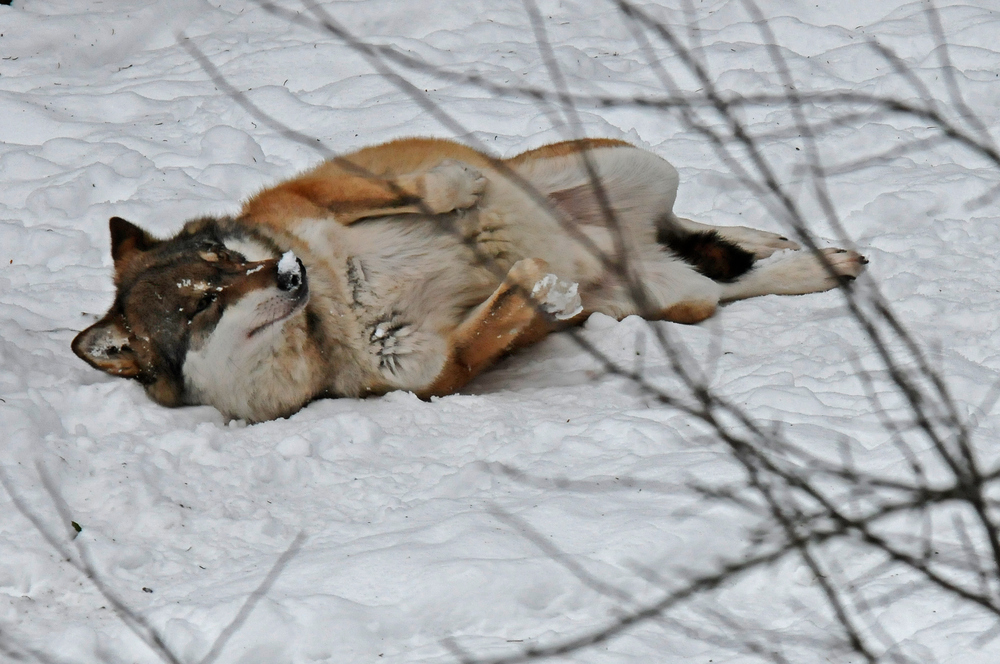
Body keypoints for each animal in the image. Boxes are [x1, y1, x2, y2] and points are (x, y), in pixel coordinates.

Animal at [72, 137, 868, 422]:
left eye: (228, 261)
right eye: (203, 305)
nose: (288, 272)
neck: (328, 314)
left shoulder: (324, 199)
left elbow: (414, 188)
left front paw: (457, 190)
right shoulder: (431, 373)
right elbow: (482, 333)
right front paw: (538, 289)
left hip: (637, 166)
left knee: (695, 224)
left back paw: (788, 242)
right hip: (674, 299)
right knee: (726, 277)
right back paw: (818, 264)